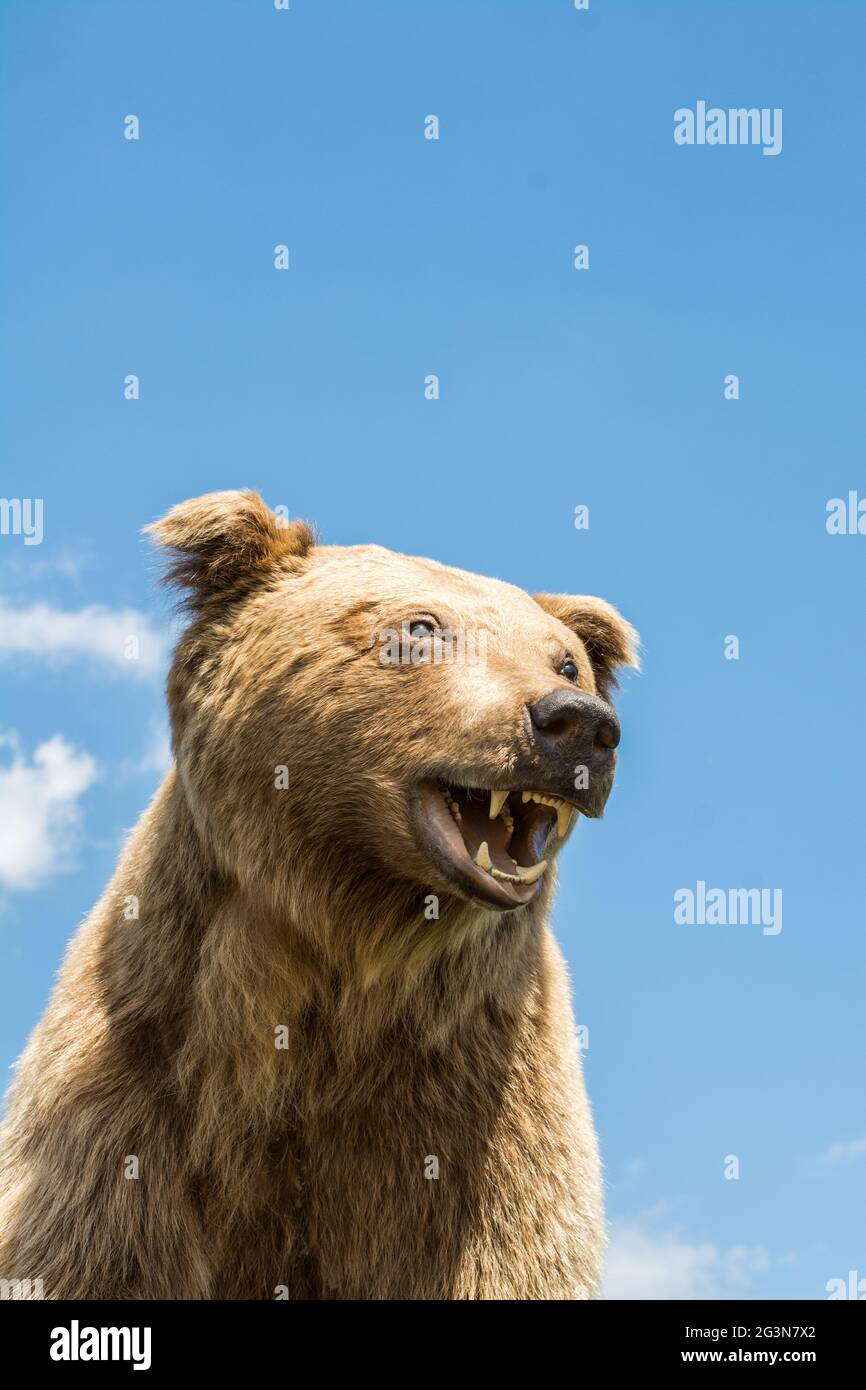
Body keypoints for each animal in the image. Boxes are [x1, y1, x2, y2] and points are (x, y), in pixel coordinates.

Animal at [0, 490, 638, 1300]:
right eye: (419, 629)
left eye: (568, 660)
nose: (578, 723)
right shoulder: (131, 1086)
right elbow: (94, 1245)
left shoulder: (487, 1113)